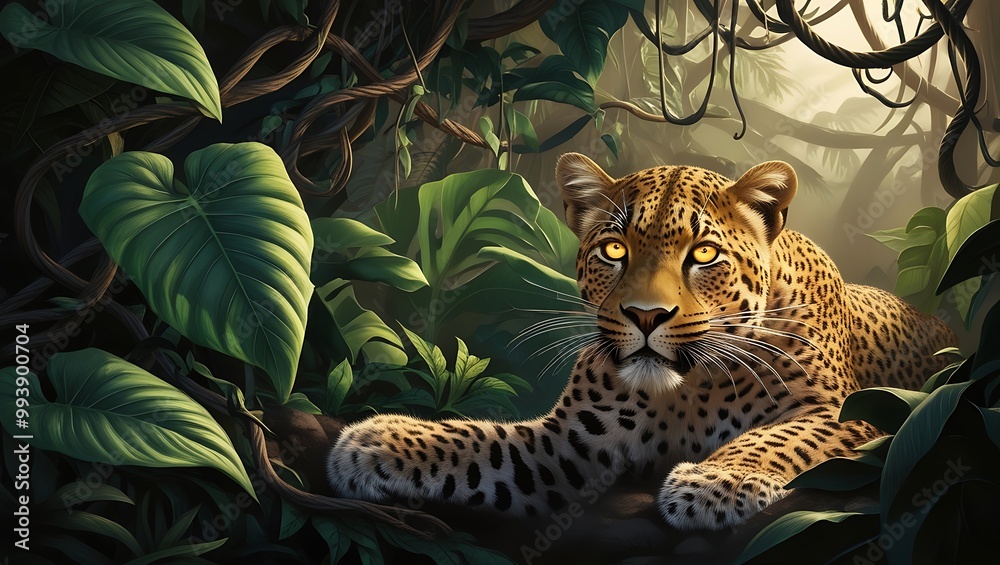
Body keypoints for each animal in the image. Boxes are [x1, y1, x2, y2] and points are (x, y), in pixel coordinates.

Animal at [327, 153, 956, 530]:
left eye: (704, 253)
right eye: (614, 249)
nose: (645, 315)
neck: (686, 391)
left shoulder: (845, 413)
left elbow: (773, 438)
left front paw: (714, 482)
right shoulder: (568, 444)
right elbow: (481, 444)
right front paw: (379, 440)